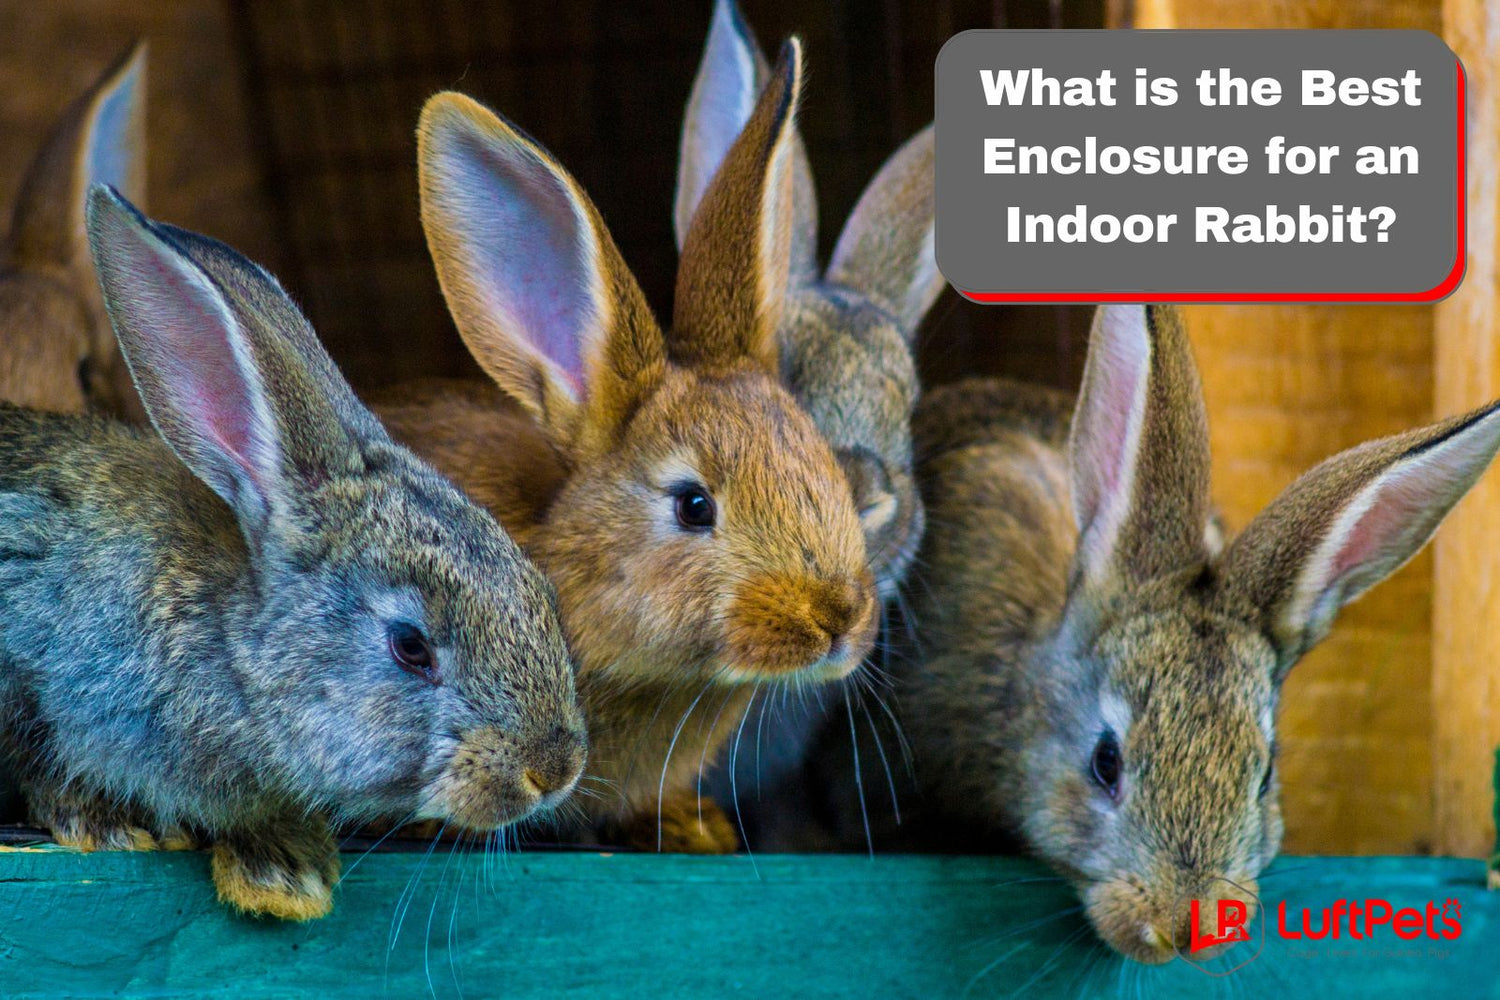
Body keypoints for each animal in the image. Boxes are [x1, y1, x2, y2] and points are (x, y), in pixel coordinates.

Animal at [0, 186, 587, 921]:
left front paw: (284, 864)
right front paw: (106, 822)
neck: (230, 651)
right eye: (410, 647)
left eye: (544, 597)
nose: (554, 771)